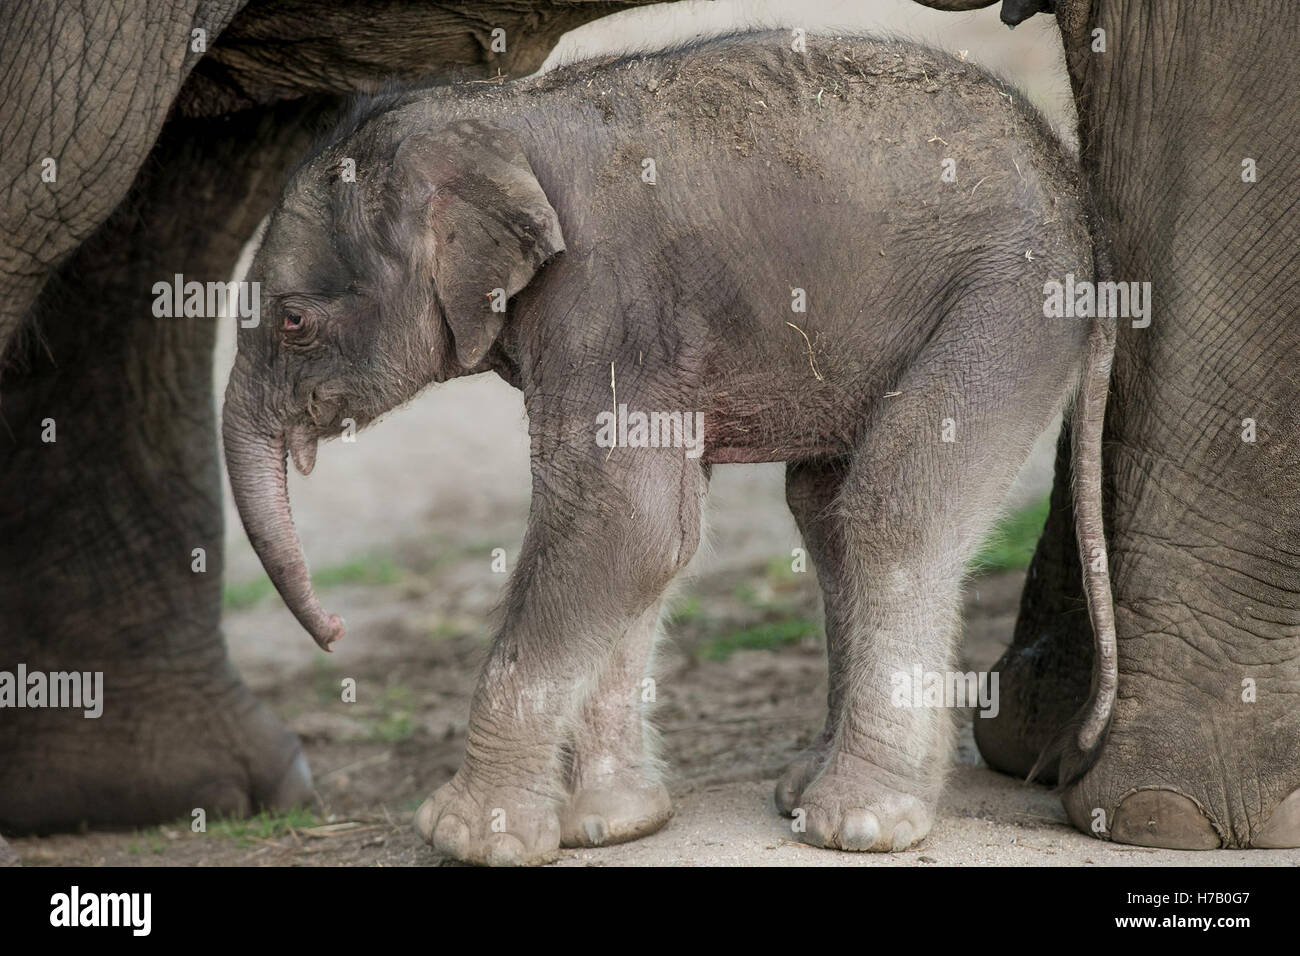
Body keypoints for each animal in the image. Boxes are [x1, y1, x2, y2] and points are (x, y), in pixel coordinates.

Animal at [222, 31, 1117, 865]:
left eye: (292, 320)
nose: (335, 630)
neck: (499, 113)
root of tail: (1075, 189)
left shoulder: (604, 303)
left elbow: (625, 525)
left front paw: (468, 835)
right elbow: (651, 538)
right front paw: (610, 825)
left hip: (1007, 301)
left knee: (893, 510)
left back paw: (856, 822)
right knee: (823, 511)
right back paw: (806, 789)